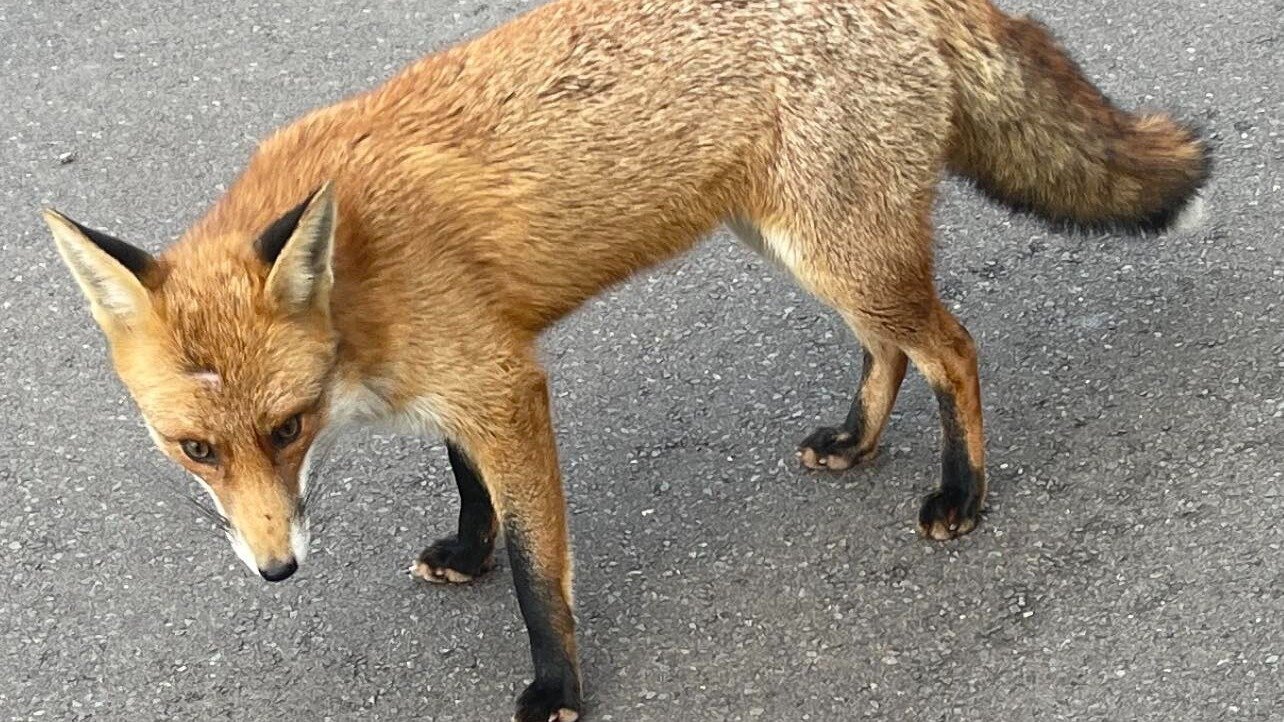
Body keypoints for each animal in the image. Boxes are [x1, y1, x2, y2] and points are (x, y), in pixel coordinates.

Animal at [43, 0, 1209, 719]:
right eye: (194, 449)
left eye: (284, 430)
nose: (277, 569)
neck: (361, 281)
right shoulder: (468, 376)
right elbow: (473, 489)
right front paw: (466, 547)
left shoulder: (502, 381)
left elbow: (538, 569)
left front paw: (555, 683)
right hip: (803, 246)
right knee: (890, 347)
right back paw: (856, 438)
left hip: (840, 251)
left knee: (954, 349)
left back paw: (961, 492)